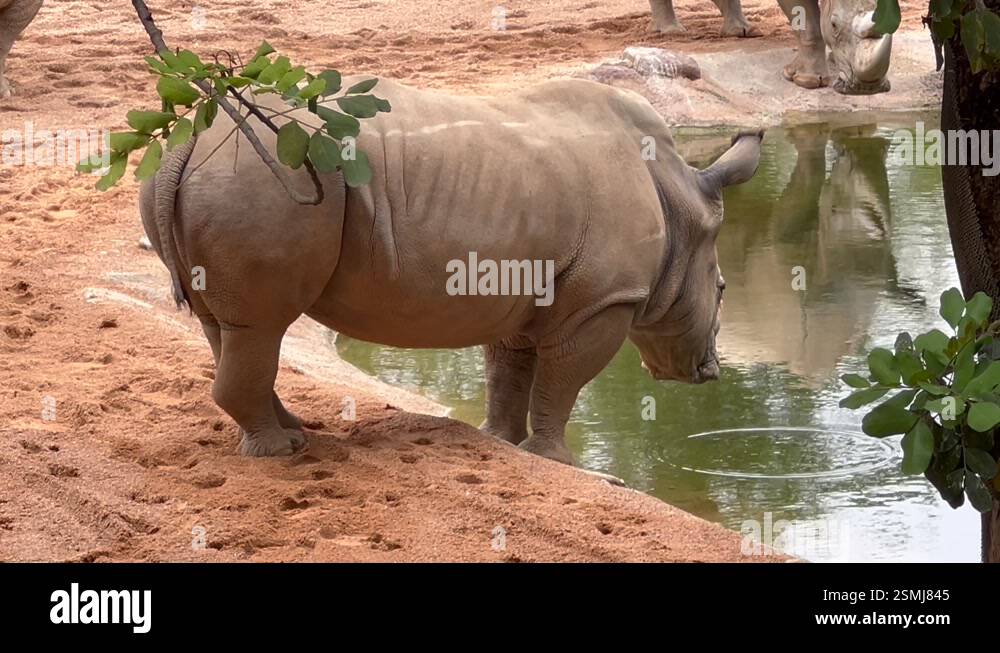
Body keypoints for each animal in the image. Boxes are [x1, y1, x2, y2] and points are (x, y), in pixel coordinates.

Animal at [140, 78, 762, 464]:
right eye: (722, 290)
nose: (708, 371)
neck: (680, 203)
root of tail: (190, 139)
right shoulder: (605, 298)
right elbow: (565, 377)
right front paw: (562, 461)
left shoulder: (524, 280)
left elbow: (509, 368)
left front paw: (501, 443)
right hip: (265, 174)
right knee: (261, 325)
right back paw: (283, 454)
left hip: (213, 172)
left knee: (228, 327)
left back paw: (293, 435)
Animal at [647, 0, 893, 94]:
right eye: (833, 25)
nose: (866, 89)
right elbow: (808, 22)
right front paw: (809, 82)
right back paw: (672, 32)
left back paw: (743, 32)